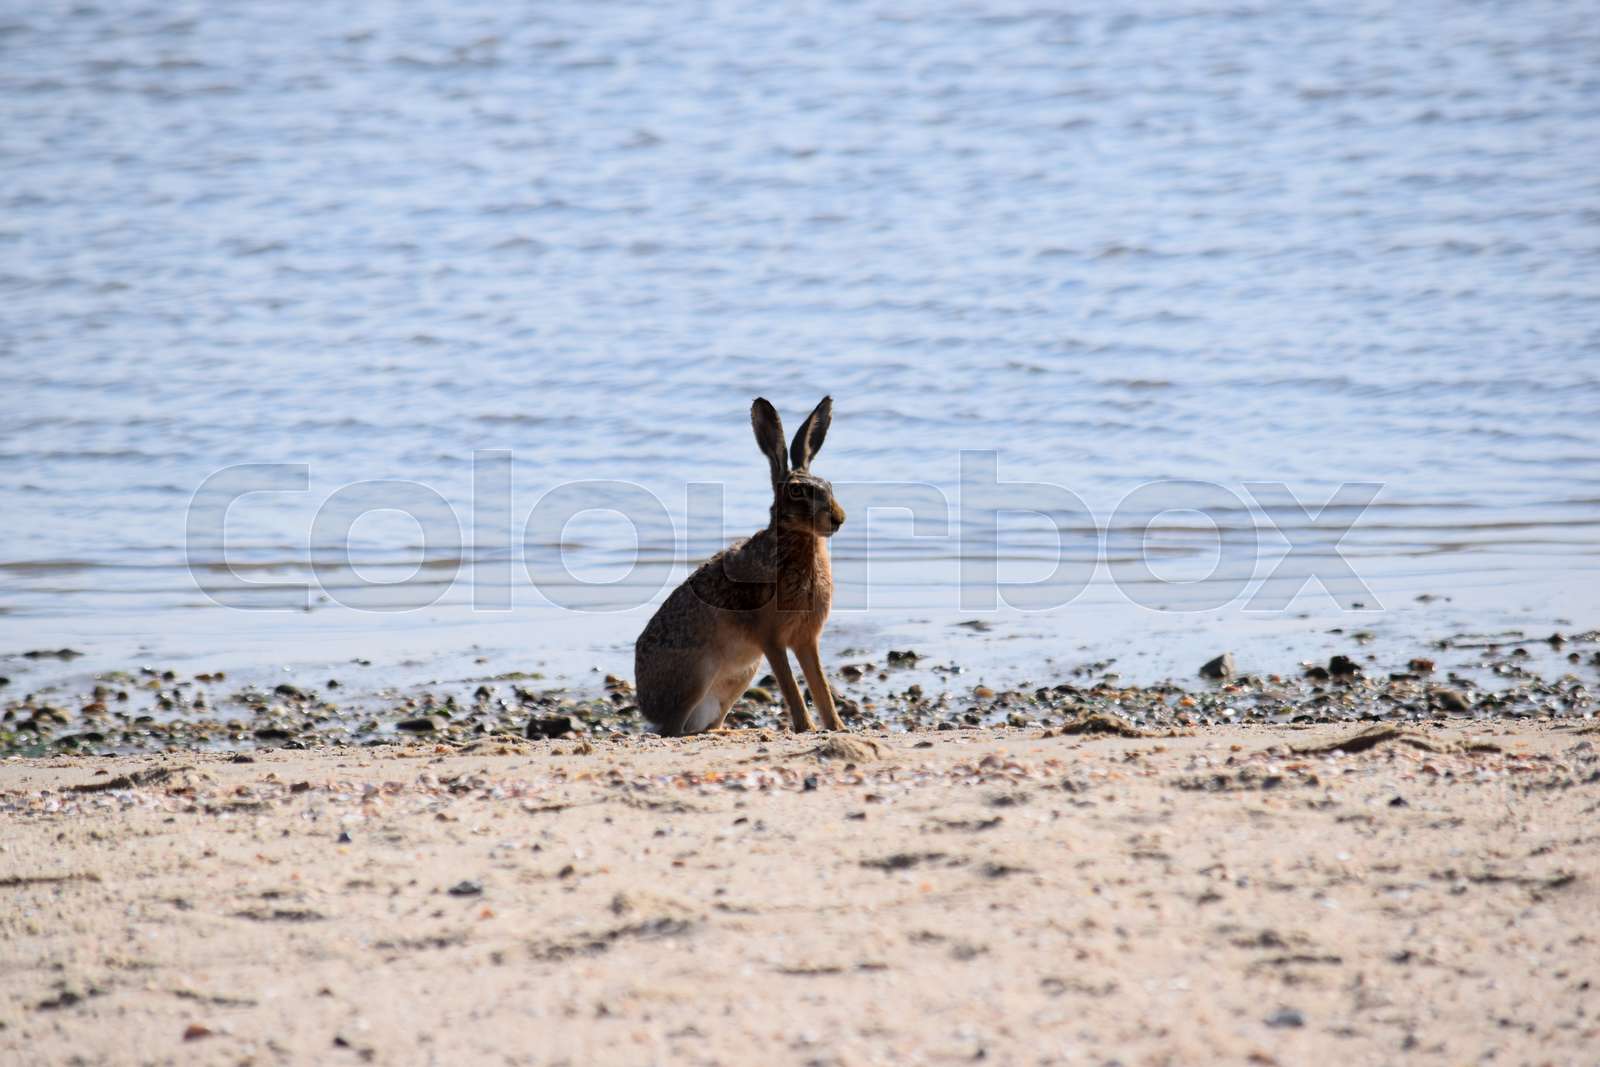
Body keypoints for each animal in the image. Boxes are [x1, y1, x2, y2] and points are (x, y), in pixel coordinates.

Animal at [635, 396, 847, 735]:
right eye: (797, 491)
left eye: (828, 485)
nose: (838, 518)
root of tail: (648, 707)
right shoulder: (771, 638)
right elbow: (790, 685)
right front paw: (806, 727)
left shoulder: (807, 638)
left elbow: (820, 684)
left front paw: (837, 726)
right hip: (699, 674)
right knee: (673, 730)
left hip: (740, 677)